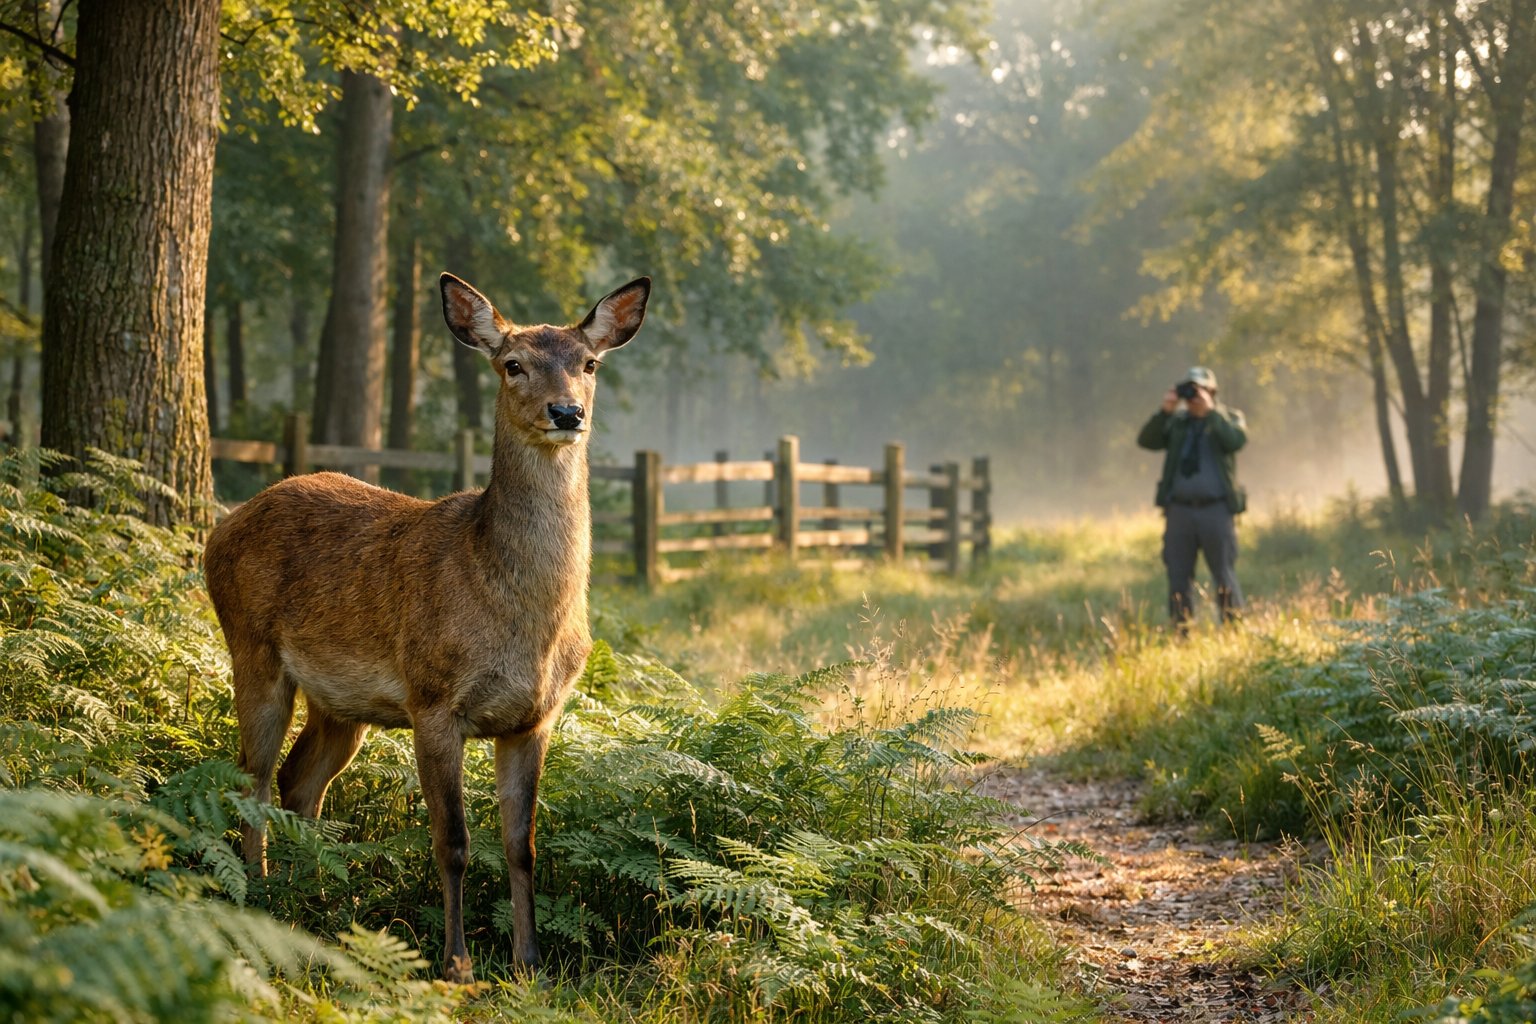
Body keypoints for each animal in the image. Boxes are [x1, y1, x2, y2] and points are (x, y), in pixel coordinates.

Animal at [203, 272, 650, 983]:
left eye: (589, 364)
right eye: (513, 363)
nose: (566, 413)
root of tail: (219, 529)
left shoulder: (535, 717)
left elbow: (521, 844)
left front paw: (529, 961)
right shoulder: (434, 699)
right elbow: (454, 842)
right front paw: (456, 963)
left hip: (342, 703)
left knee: (299, 780)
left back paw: (314, 897)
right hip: (251, 648)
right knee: (252, 775)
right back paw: (261, 891)